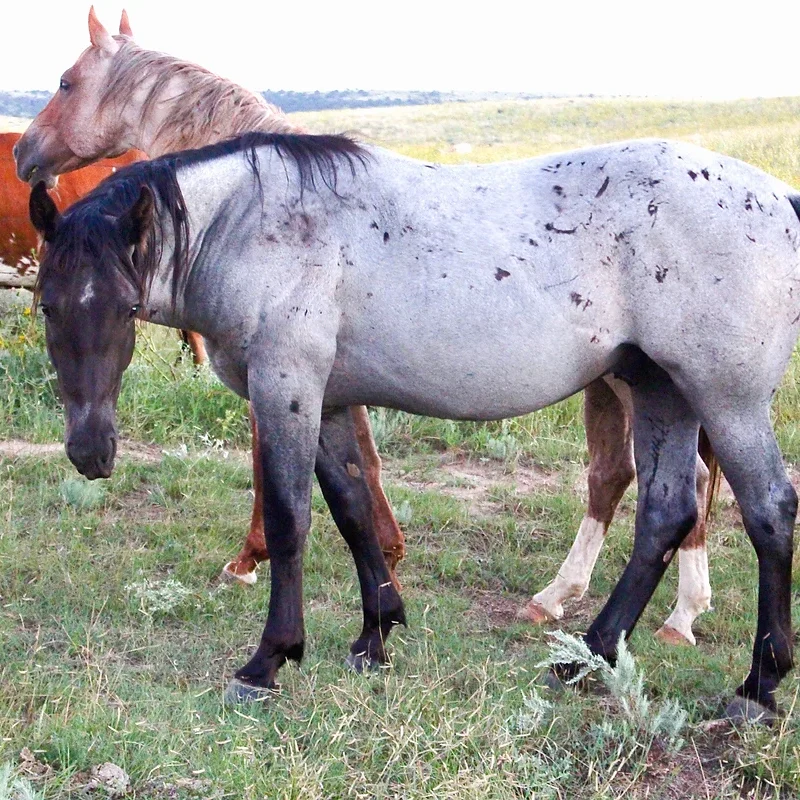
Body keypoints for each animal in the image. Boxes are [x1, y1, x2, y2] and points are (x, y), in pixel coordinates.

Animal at [14, 8, 714, 645]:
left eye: (67, 81)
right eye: (48, 306)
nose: (24, 152)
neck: (256, 212)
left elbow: (294, 472)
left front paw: (256, 560)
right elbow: (358, 476)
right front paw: (386, 581)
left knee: (683, 483)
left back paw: (678, 617)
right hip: (616, 385)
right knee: (622, 476)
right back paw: (568, 597)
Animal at [28, 131, 800, 720]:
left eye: (126, 307)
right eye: (46, 304)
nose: (91, 451)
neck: (255, 226)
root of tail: (779, 202)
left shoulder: (285, 389)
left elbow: (289, 519)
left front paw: (269, 660)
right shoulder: (329, 403)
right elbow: (351, 510)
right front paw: (375, 637)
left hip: (723, 398)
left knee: (768, 510)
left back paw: (756, 687)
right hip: (662, 391)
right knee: (666, 514)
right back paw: (587, 659)